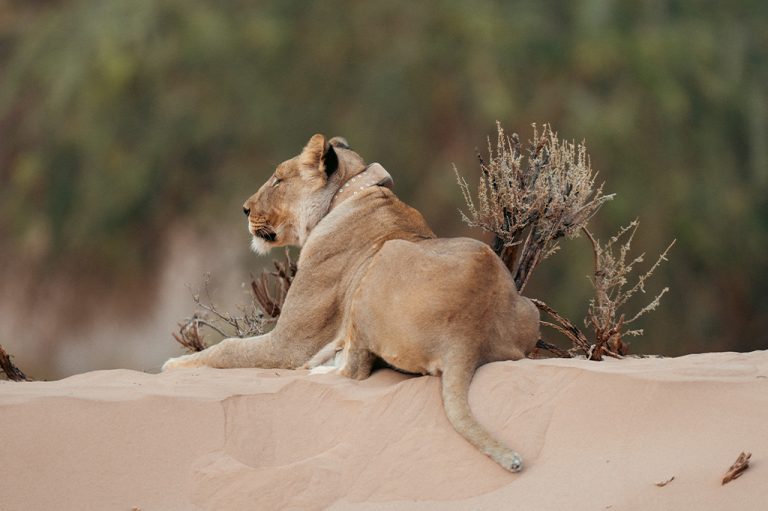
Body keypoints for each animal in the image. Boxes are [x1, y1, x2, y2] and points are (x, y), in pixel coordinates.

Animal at [163, 134, 540, 472]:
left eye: (278, 180)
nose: (245, 210)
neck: (350, 193)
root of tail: (468, 333)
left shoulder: (289, 343)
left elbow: (225, 348)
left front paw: (174, 366)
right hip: (527, 306)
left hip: (382, 261)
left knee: (353, 370)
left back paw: (318, 370)